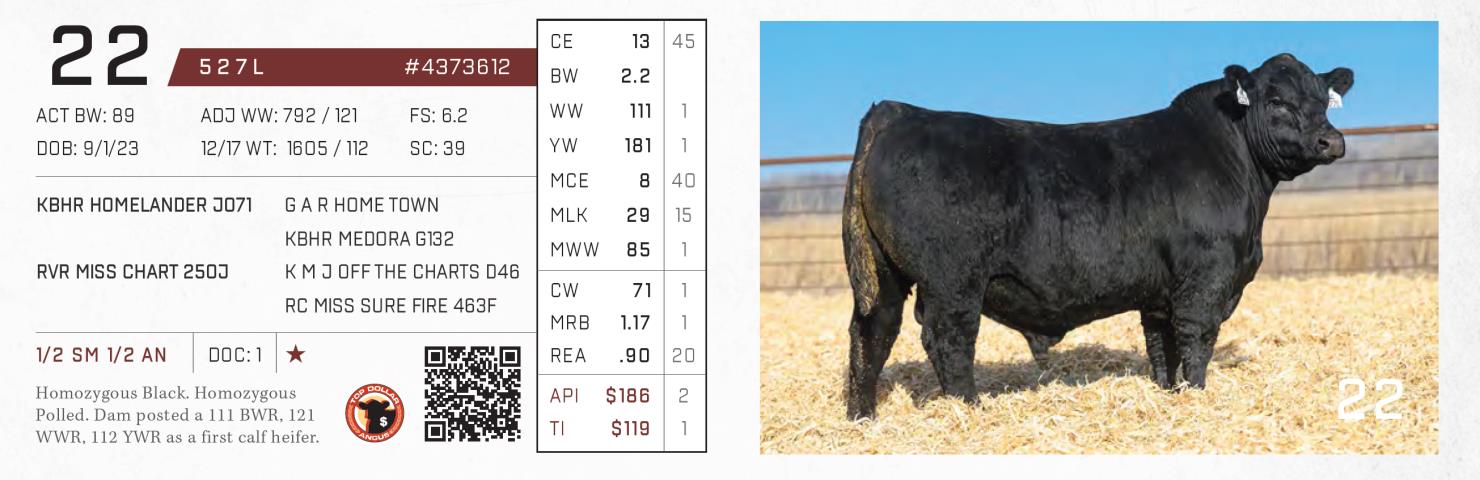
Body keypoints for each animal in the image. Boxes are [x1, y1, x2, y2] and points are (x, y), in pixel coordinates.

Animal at [842, 53, 1354, 419]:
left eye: (1322, 100)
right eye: (1276, 101)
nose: (1331, 141)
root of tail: (899, 111)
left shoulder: (1161, 291)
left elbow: (1162, 346)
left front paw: (1170, 393)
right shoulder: (1206, 280)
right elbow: (1196, 339)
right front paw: (1197, 395)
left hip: (884, 271)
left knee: (873, 330)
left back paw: (863, 417)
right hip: (953, 280)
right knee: (948, 337)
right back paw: (967, 408)